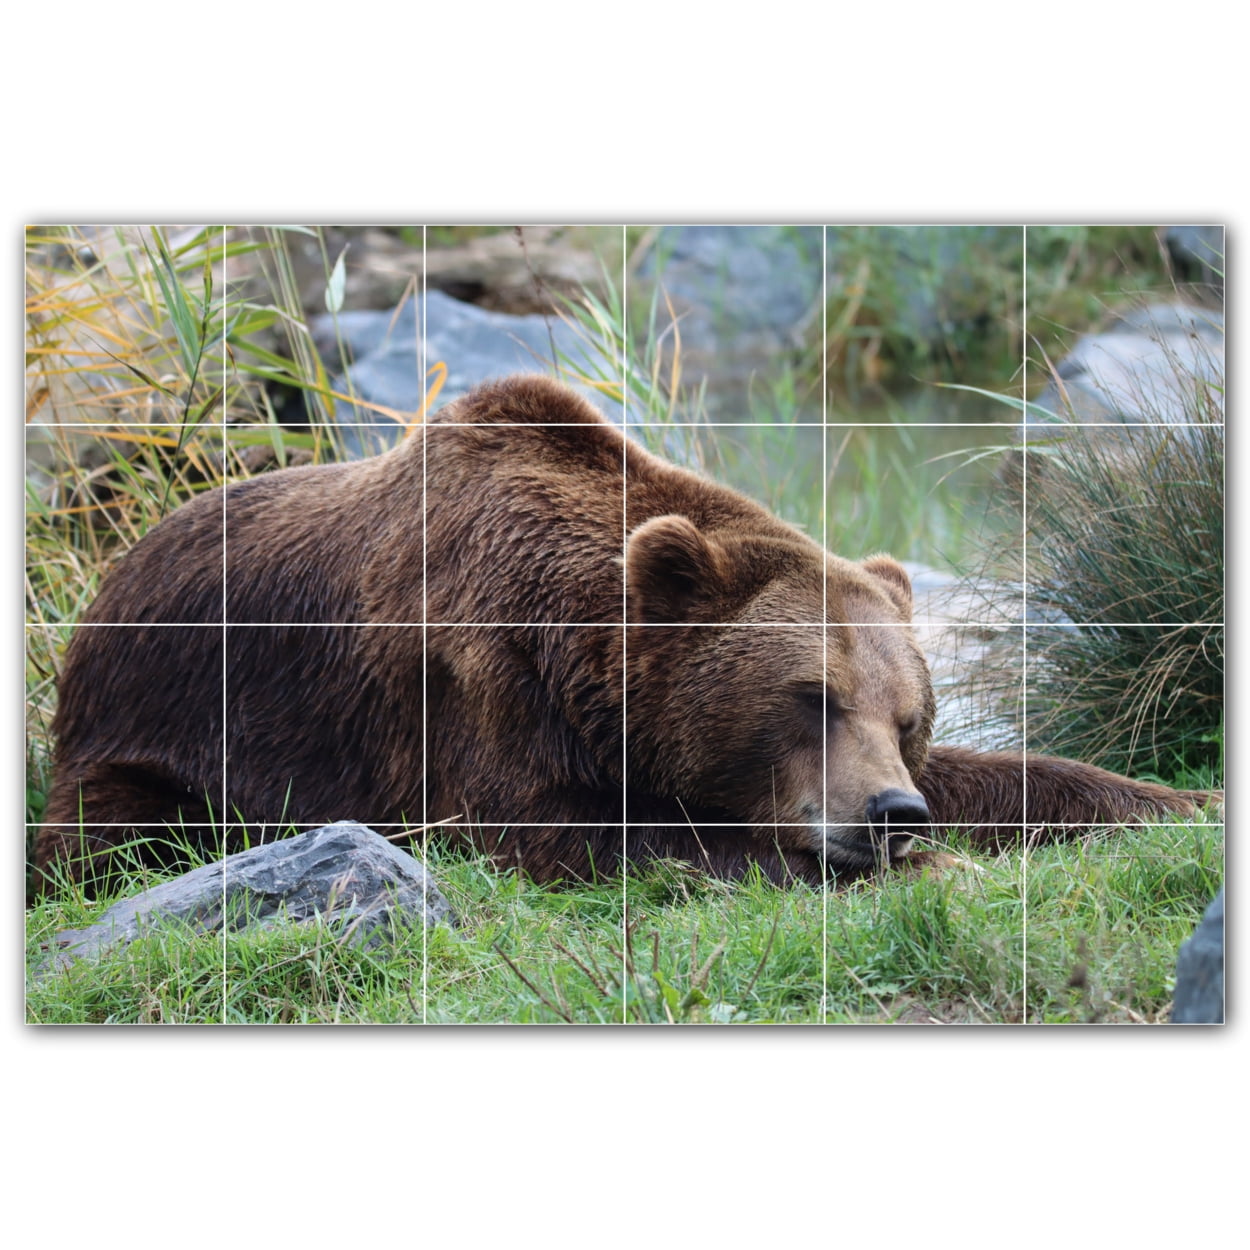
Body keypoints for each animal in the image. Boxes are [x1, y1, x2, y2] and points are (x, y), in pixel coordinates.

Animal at [30, 374, 1214, 898]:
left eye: (909, 715)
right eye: (811, 696)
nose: (889, 814)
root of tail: (113, 571)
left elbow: (1012, 775)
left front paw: (1176, 804)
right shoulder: (470, 696)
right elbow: (581, 832)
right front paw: (925, 866)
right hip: (159, 726)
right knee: (119, 834)